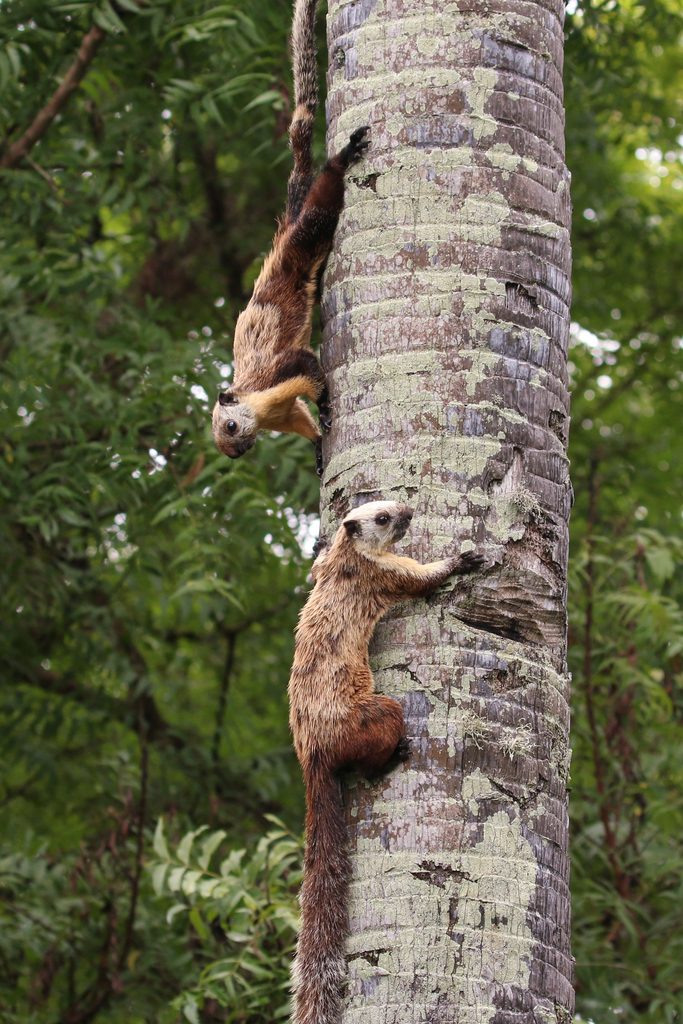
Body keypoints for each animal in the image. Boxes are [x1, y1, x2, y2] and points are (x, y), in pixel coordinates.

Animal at [212, 0, 369, 476]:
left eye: (229, 426)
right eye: (228, 446)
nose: (241, 449)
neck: (260, 406)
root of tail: (284, 235)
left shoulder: (278, 374)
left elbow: (311, 371)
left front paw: (327, 407)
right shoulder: (284, 413)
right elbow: (303, 421)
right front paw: (318, 446)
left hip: (306, 238)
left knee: (320, 205)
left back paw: (341, 160)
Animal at [288, 501, 484, 1024]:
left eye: (390, 507)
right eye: (381, 518)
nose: (410, 510)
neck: (347, 558)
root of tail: (311, 754)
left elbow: (312, 569)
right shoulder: (387, 573)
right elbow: (422, 578)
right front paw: (465, 559)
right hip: (381, 711)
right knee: (368, 759)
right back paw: (395, 755)